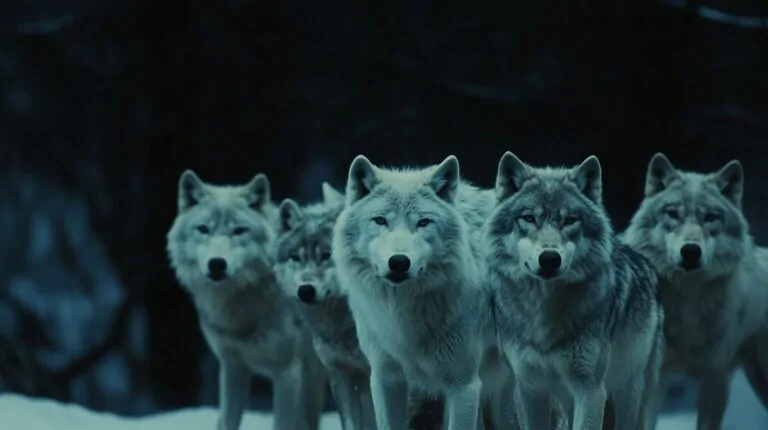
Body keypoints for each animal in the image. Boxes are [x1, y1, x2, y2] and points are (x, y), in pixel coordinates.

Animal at [166, 170, 326, 430]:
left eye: (239, 230)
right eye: (203, 229)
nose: (217, 264)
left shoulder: (288, 374)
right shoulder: (233, 367)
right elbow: (226, 422)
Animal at [331, 154, 520, 430]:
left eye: (423, 222)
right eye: (380, 220)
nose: (399, 262)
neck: (404, 316)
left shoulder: (464, 385)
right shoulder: (386, 379)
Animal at [484, 152, 665, 430]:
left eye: (569, 220)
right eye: (529, 218)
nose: (550, 259)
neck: (543, 313)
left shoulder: (590, 390)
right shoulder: (529, 389)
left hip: (629, 392)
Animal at [622, 153, 768, 430]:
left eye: (710, 217)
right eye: (672, 214)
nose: (691, 251)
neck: (688, 303)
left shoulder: (716, 379)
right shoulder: (656, 377)